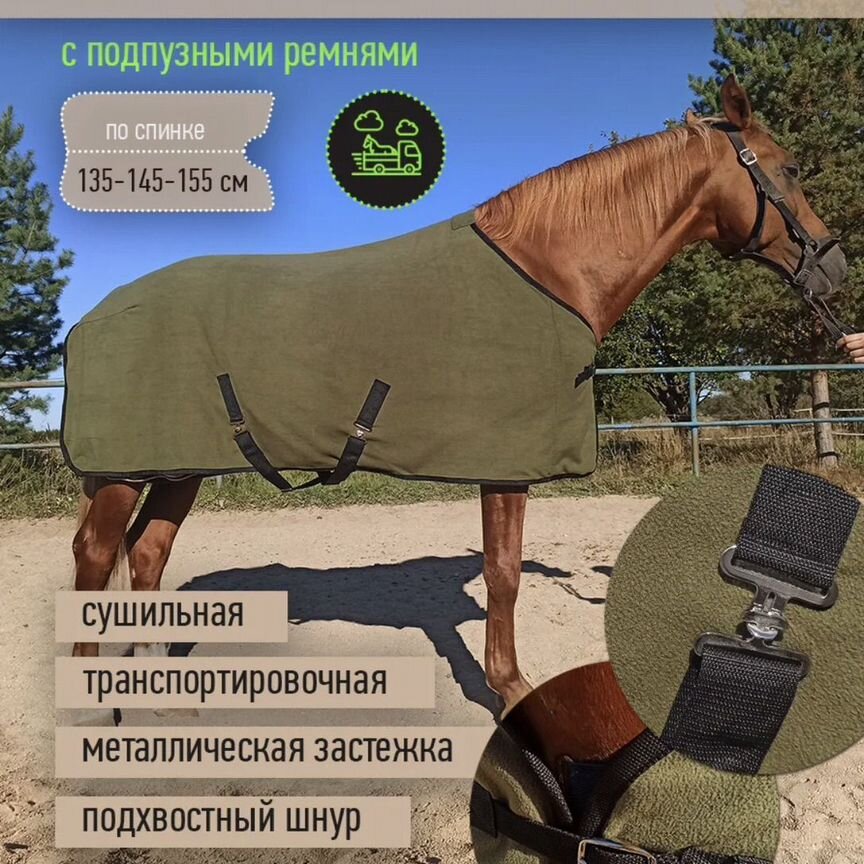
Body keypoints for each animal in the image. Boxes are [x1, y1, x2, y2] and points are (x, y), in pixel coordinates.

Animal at [69, 76, 848, 711]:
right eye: (787, 169)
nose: (835, 265)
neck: (549, 269)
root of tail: (94, 314)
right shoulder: (505, 466)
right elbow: (504, 576)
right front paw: (511, 691)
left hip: (178, 464)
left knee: (147, 553)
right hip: (125, 472)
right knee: (97, 555)